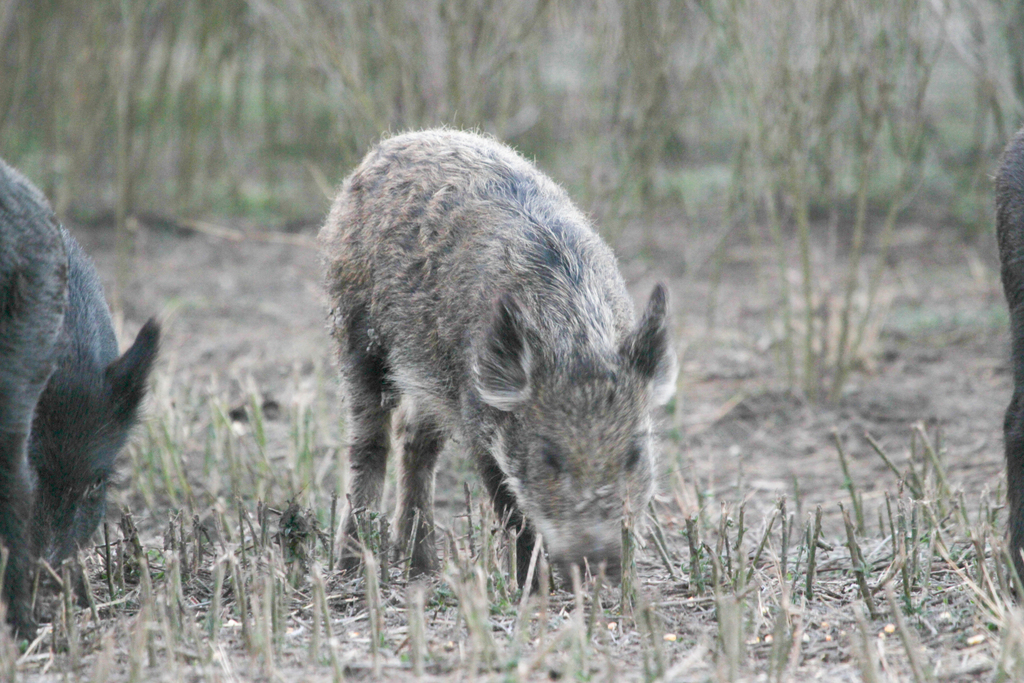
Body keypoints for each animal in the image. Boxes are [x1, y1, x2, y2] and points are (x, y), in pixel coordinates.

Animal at [320, 129, 677, 585]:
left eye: (633, 454)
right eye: (548, 456)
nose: (597, 564)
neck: (575, 340)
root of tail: (392, 144)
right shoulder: (478, 416)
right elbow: (511, 510)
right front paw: (533, 587)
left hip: (430, 377)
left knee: (415, 440)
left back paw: (423, 568)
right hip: (355, 332)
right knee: (369, 443)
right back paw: (350, 568)